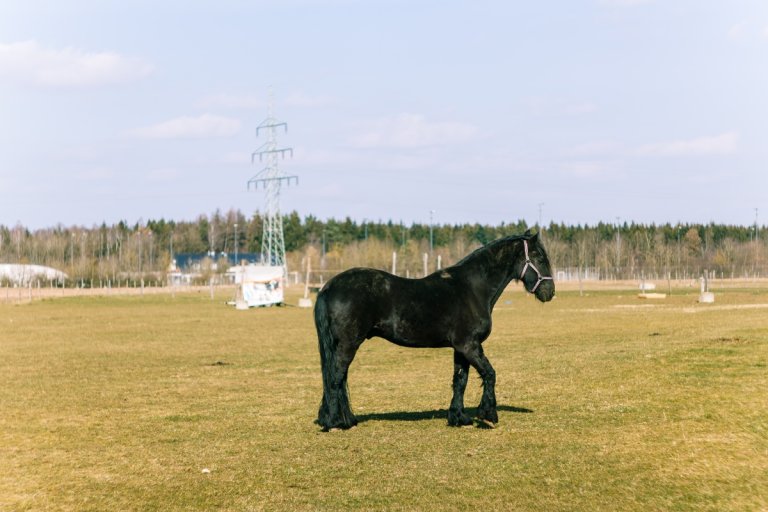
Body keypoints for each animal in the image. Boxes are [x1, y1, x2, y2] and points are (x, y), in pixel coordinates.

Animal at [314, 229, 555, 431]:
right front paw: (488, 415)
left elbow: (460, 381)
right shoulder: (470, 346)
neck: (472, 289)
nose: (550, 292)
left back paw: (343, 419)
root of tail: (328, 287)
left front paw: (459, 418)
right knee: (335, 377)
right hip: (348, 344)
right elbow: (489, 374)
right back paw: (334, 423)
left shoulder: (461, 349)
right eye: (539, 258)